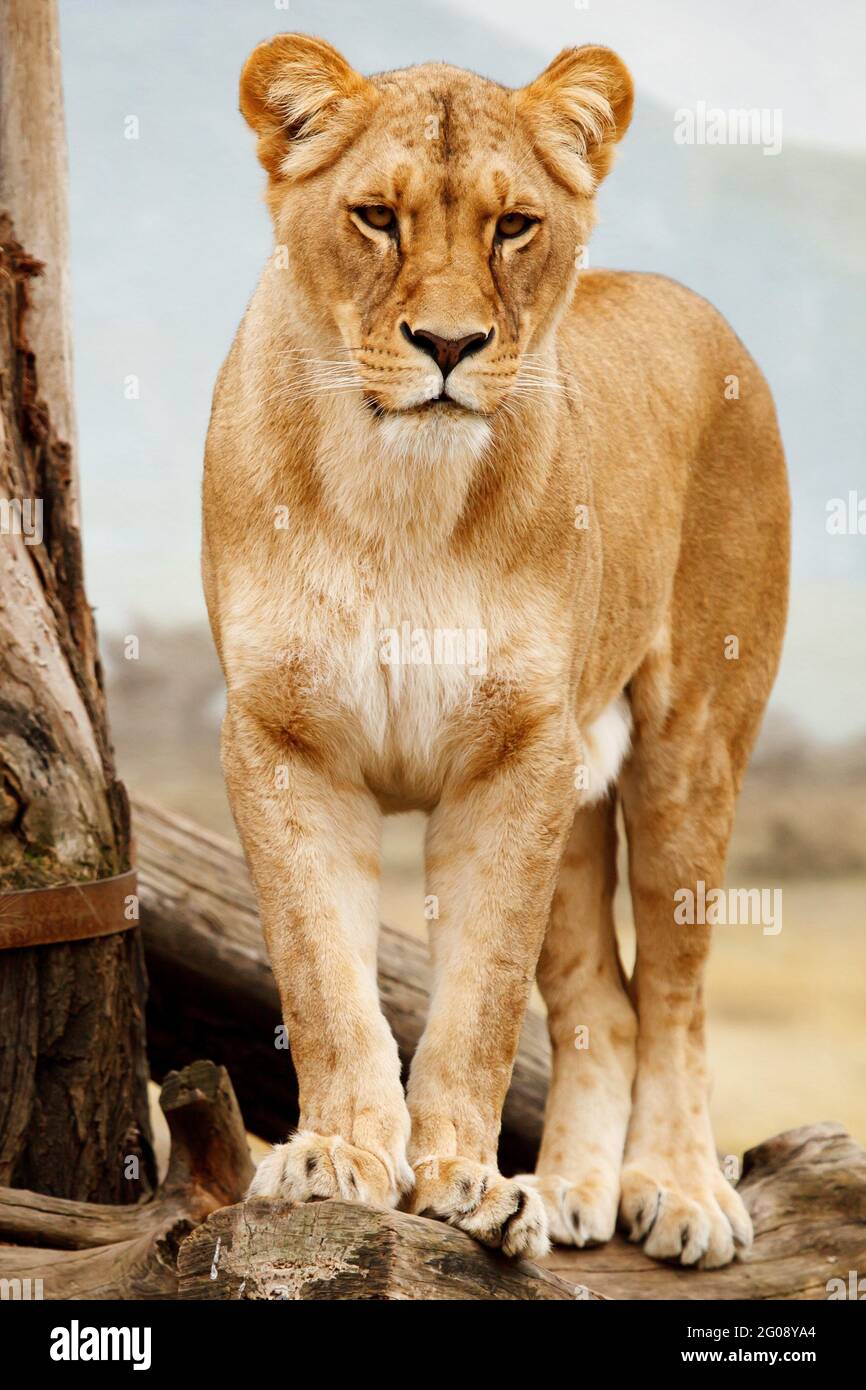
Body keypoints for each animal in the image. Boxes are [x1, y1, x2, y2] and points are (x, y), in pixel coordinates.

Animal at [202, 33, 789, 1267]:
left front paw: (463, 1182)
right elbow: (323, 977)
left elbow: (478, 999)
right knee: (603, 1004)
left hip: (688, 752)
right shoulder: (282, 740)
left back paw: (676, 1190)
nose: (448, 345)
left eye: (513, 225)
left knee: (673, 992)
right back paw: (567, 1190)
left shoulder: (516, 754)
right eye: (376, 217)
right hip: (578, 790)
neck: (397, 493)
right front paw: (336, 1155)